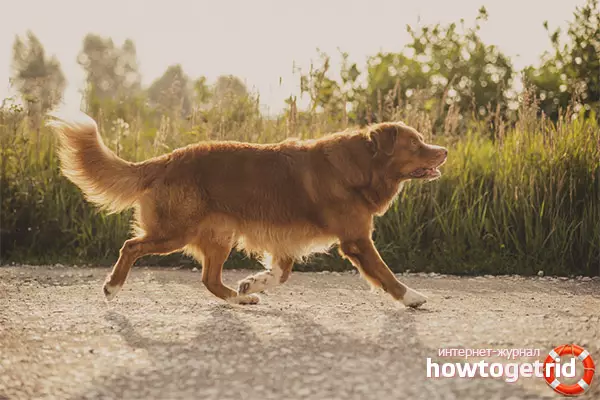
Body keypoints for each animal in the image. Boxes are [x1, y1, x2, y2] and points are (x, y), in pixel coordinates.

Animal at [47, 111, 448, 308]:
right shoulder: (356, 240)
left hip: (219, 234)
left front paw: (252, 282)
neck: (361, 166)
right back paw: (112, 287)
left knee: (209, 279)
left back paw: (239, 297)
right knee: (132, 246)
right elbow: (385, 274)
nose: (443, 151)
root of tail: (167, 159)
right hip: (175, 231)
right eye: (416, 144)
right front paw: (411, 297)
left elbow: (280, 273)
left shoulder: (286, 238)